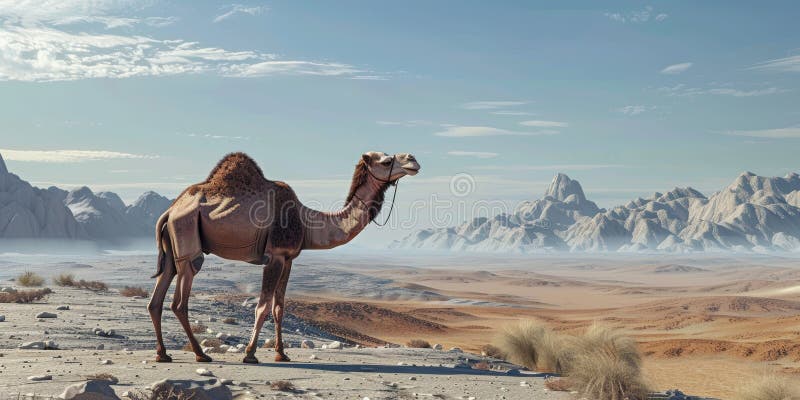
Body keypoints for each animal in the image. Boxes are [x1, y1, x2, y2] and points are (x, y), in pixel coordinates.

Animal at [147, 151, 420, 364]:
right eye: (386, 161)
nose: (413, 160)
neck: (306, 222)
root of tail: (170, 211)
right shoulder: (275, 255)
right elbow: (262, 307)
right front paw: (250, 354)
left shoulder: (289, 259)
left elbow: (279, 307)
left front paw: (281, 354)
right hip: (187, 234)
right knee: (180, 299)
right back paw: (200, 354)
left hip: (172, 248)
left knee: (157, 297)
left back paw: (163, 354)